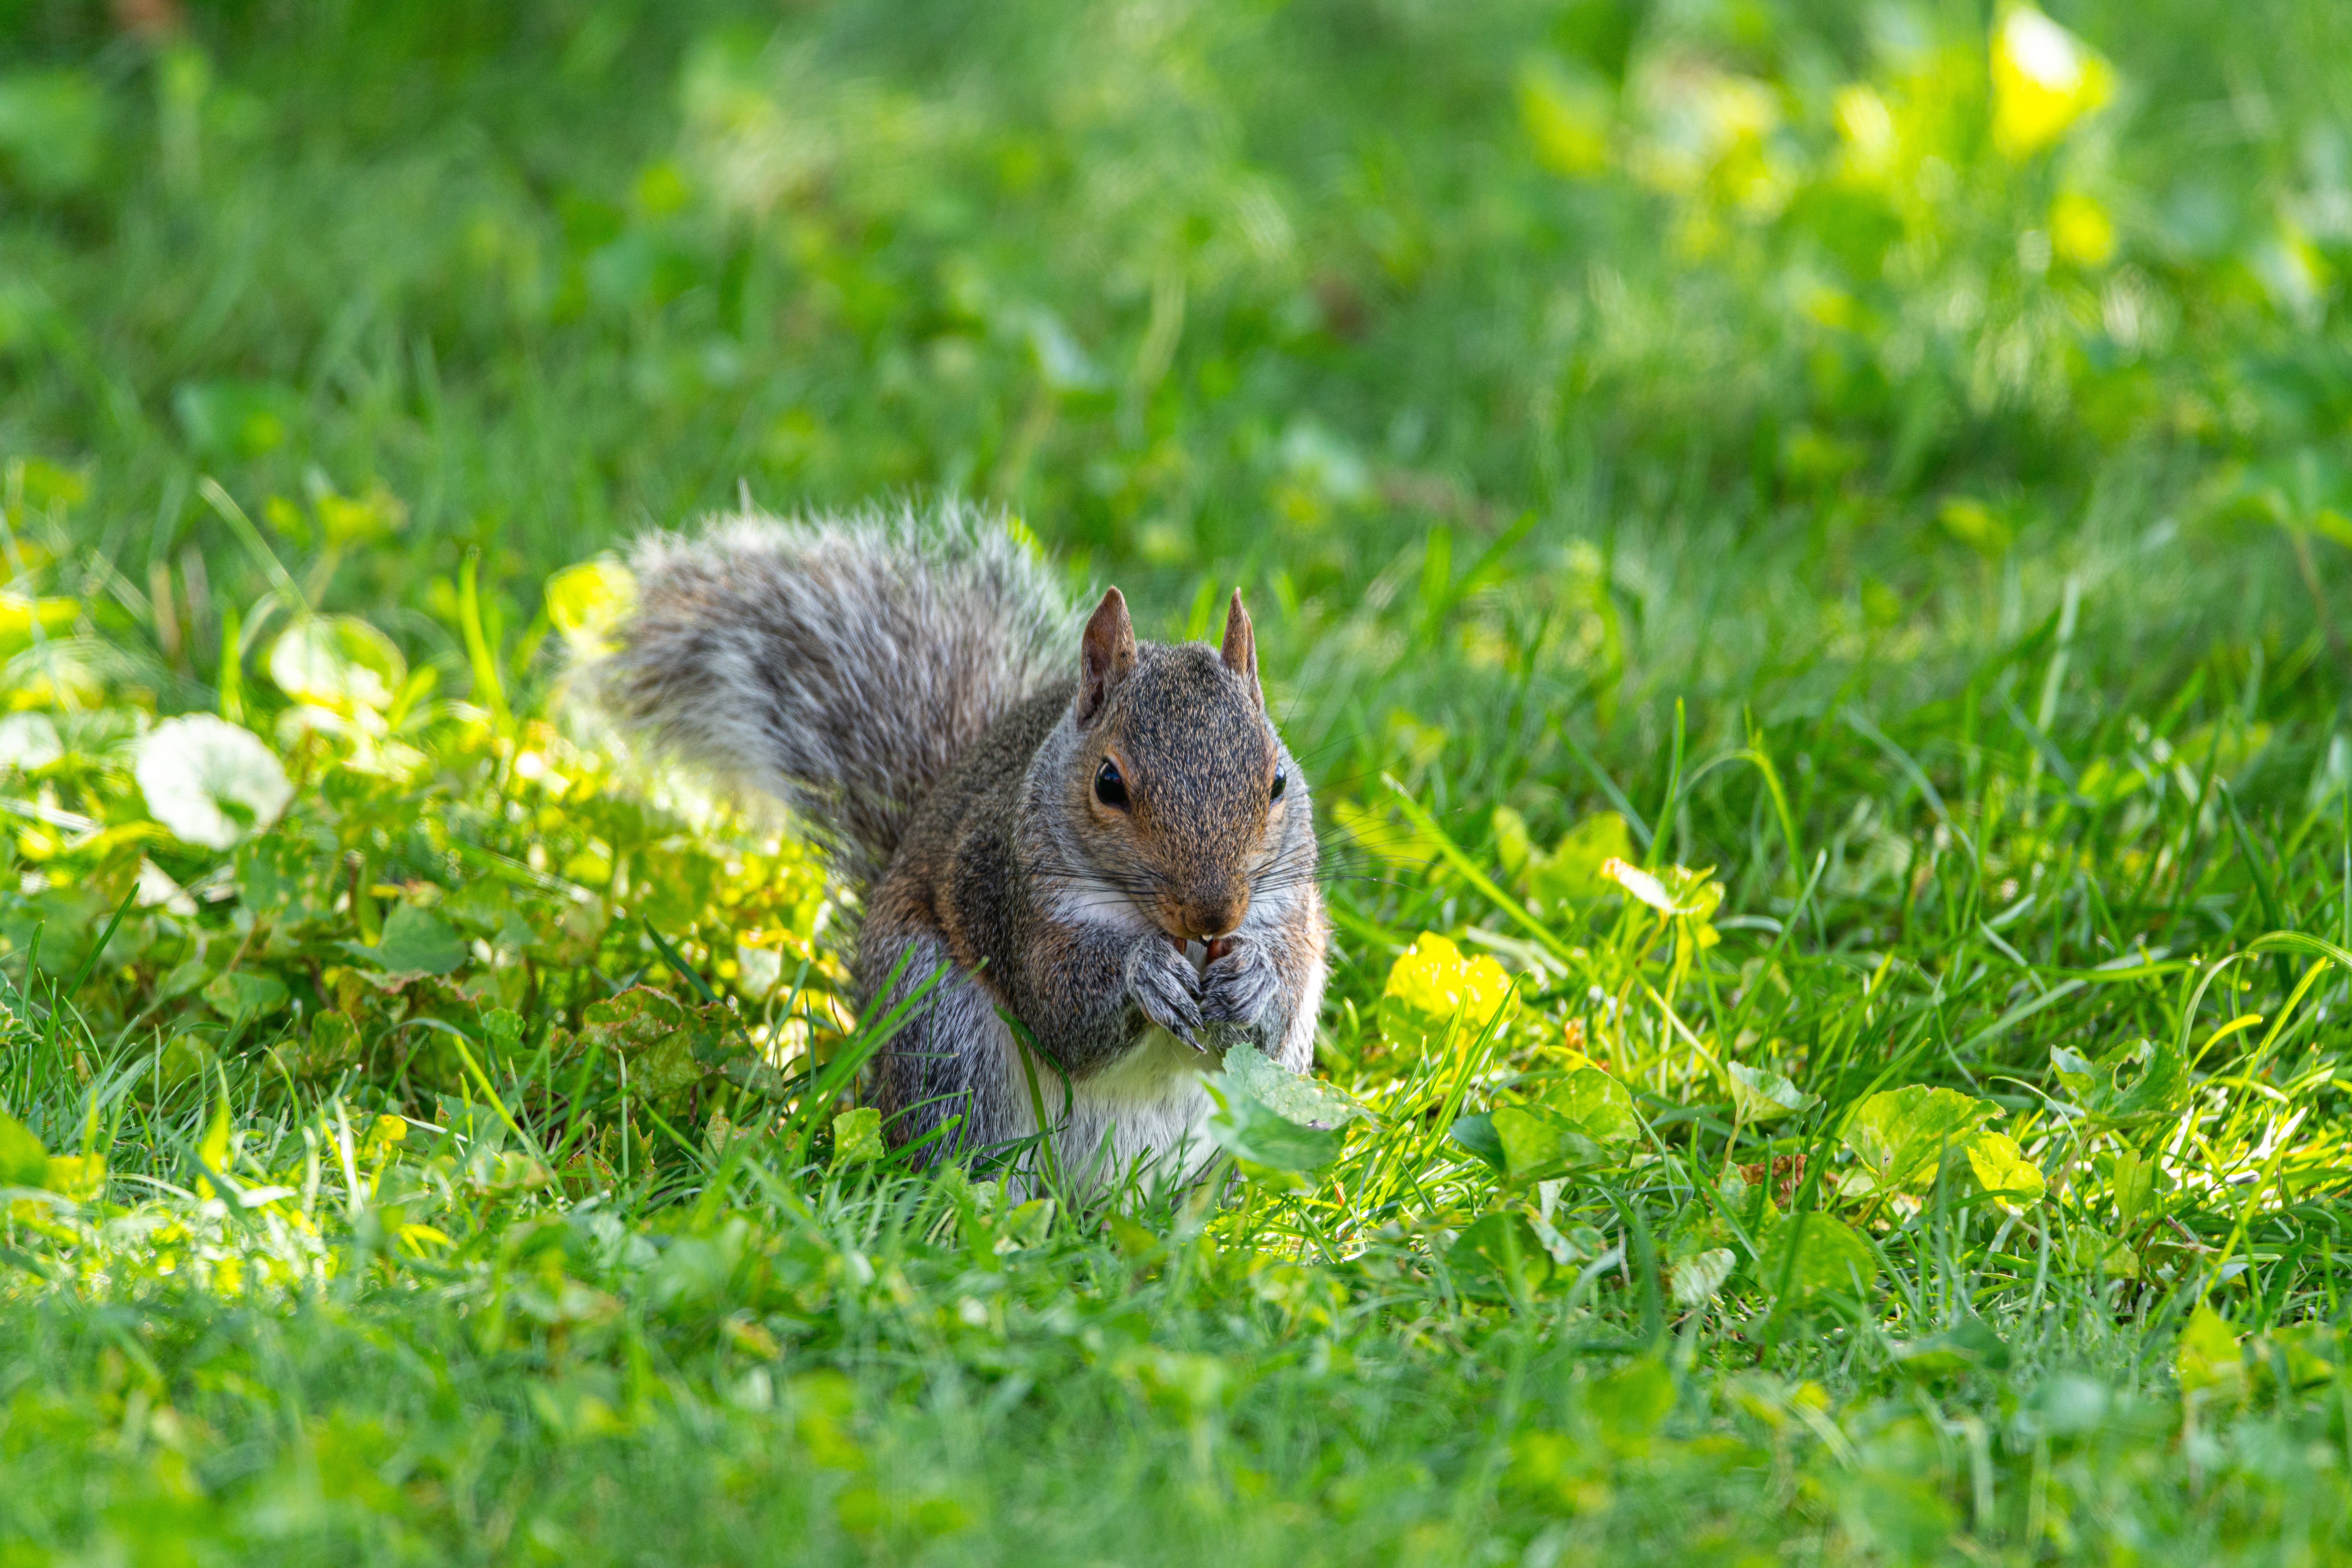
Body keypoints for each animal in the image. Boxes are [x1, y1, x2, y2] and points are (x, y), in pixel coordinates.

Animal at [590, 501, 1329, 1182]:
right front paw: (1141, 971)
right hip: (943, 1032)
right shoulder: (1013, 896)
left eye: (1278, 781)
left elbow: (1274, 1019)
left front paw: (1256, 977)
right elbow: (1061, 1014)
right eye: (1109, 783)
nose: (1214, 913)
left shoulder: (1288, 910)